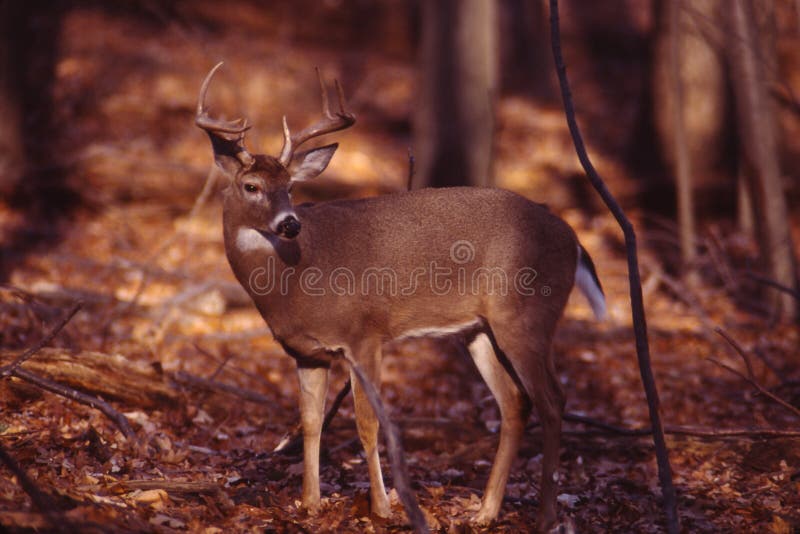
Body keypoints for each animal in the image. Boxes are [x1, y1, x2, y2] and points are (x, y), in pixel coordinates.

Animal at [195, 62, 607, 531]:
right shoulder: (307, 352)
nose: (289, 224)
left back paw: (544, 515)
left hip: (528, 315)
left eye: (291, 188)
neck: (295, 278)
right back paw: (484, 511)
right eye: (251, 186)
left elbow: (368, 423)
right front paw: (310, 503)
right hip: (480, 330)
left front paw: (382, 507)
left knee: (553, 401)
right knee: (515, 403)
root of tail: (574, 240)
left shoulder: (364, 334)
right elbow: (311, 422)